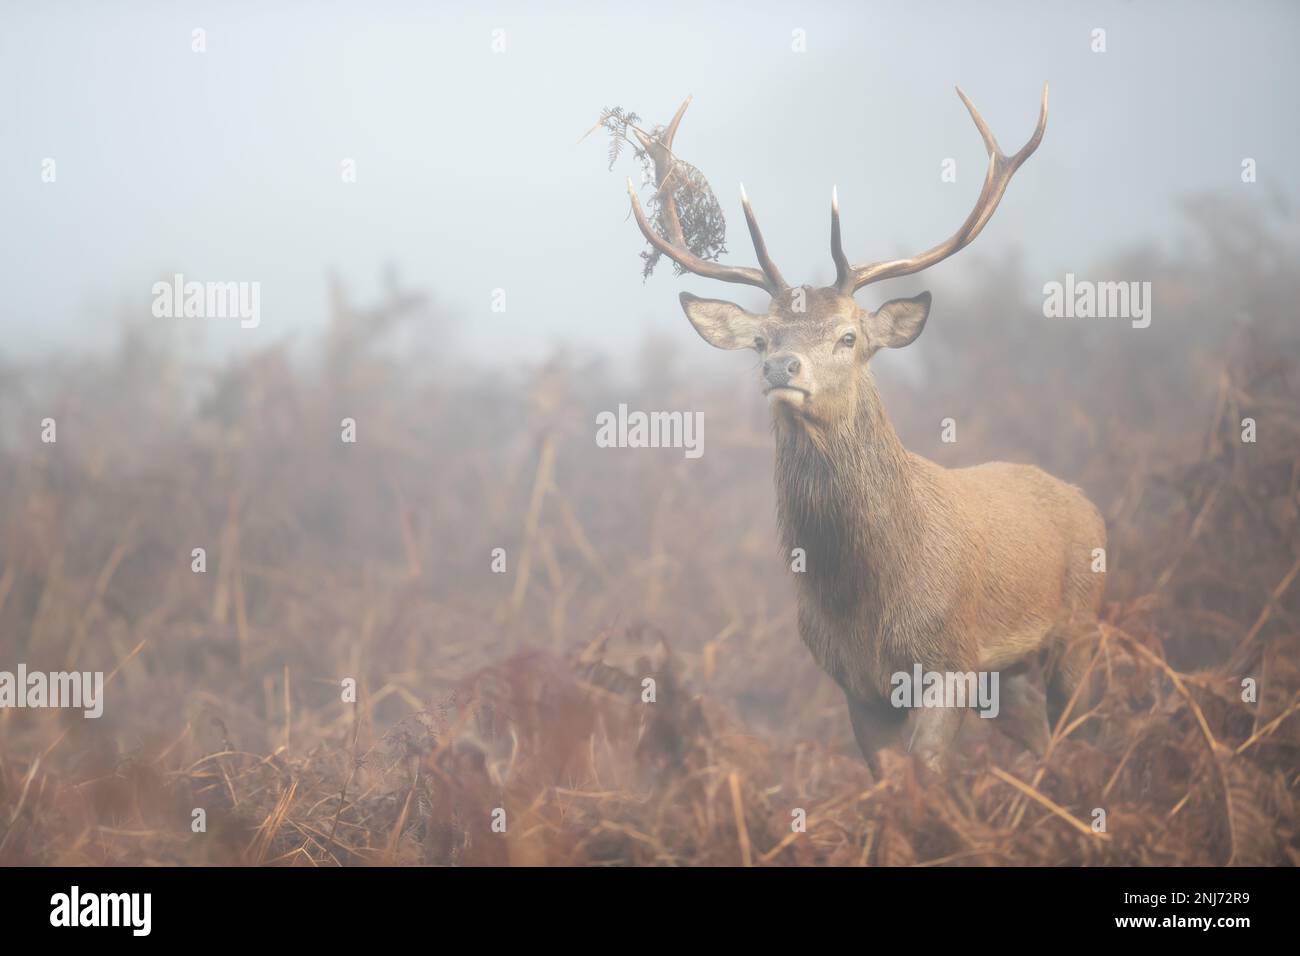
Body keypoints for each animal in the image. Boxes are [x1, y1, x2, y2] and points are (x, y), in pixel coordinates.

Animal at [619, 87, 1106, 776]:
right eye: (763, 339)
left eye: (848, 337)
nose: (780, 367)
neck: (870, 598)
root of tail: (1088, 504)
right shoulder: (852, 683)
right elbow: (888, 781)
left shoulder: (951, 658)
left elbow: (928, 769)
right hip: (1010, 673)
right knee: (1038, 730)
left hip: (1080, 629)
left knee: (1085, 724)